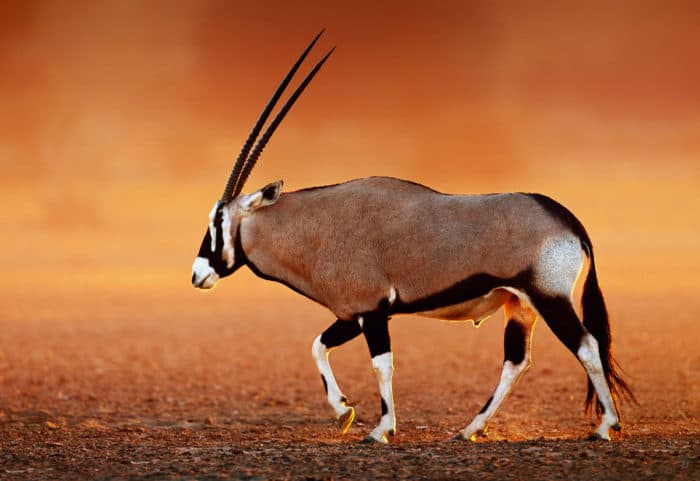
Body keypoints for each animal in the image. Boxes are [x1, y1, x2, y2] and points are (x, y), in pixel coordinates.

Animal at [191, 31, 634, 443]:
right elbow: (318, 345)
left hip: (549, 297)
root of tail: (567, 220)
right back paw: (468, 429)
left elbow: (381, 363)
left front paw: (379, 428)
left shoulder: (370, 312)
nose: (197, 275)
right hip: (520, 305)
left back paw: (605, 425)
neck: (315, 226)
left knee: (586, 345)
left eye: (218, 219)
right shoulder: (351, 315)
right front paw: (344, 412)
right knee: (516, 361)